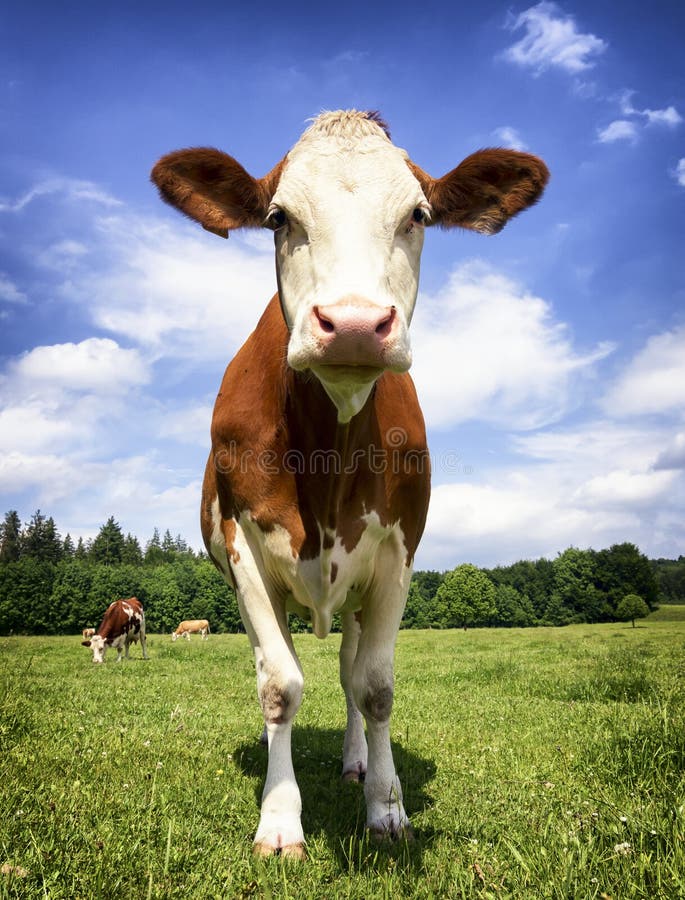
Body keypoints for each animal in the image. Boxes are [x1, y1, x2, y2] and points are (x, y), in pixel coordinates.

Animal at [151, 109, 548, 858]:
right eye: (278, 217)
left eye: (418, 215)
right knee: (275, 666)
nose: (356, 325)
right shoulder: (245, 548)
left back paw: (356, 761)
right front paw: (279, 819)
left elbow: (375, 688)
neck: (326, 464)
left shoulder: (396, 553)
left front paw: (386, 808)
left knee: (345, 671)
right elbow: (279, 686)